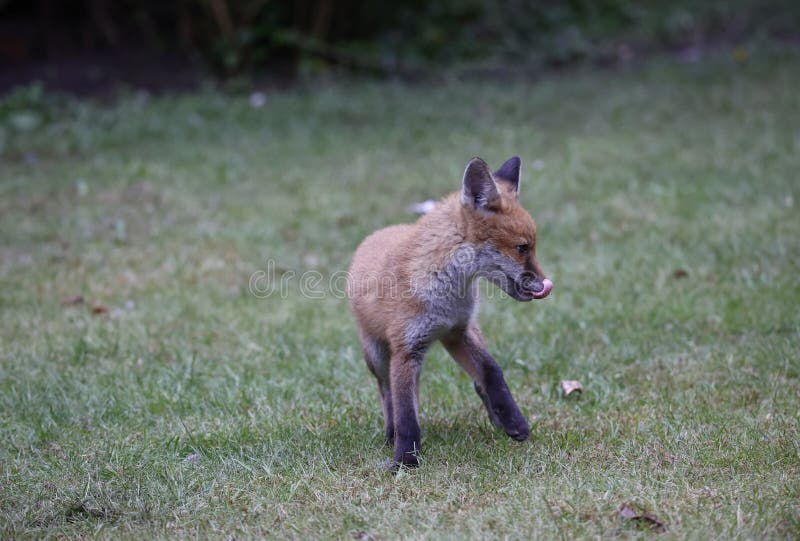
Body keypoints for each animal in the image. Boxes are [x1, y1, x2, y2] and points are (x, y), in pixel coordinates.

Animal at [346, 156, 553, 469]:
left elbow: (492, 372)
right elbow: (406, 415)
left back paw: (497, 420)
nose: (545, 285)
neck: (447, 297)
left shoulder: (459, 331)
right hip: (378, 356)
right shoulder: (406, 349)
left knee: (477, 381)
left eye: (532, 247)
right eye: (522, 247)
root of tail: (374, 235)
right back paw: (390, 435)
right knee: (388, 395)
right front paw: (405, 460)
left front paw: (513, 420)